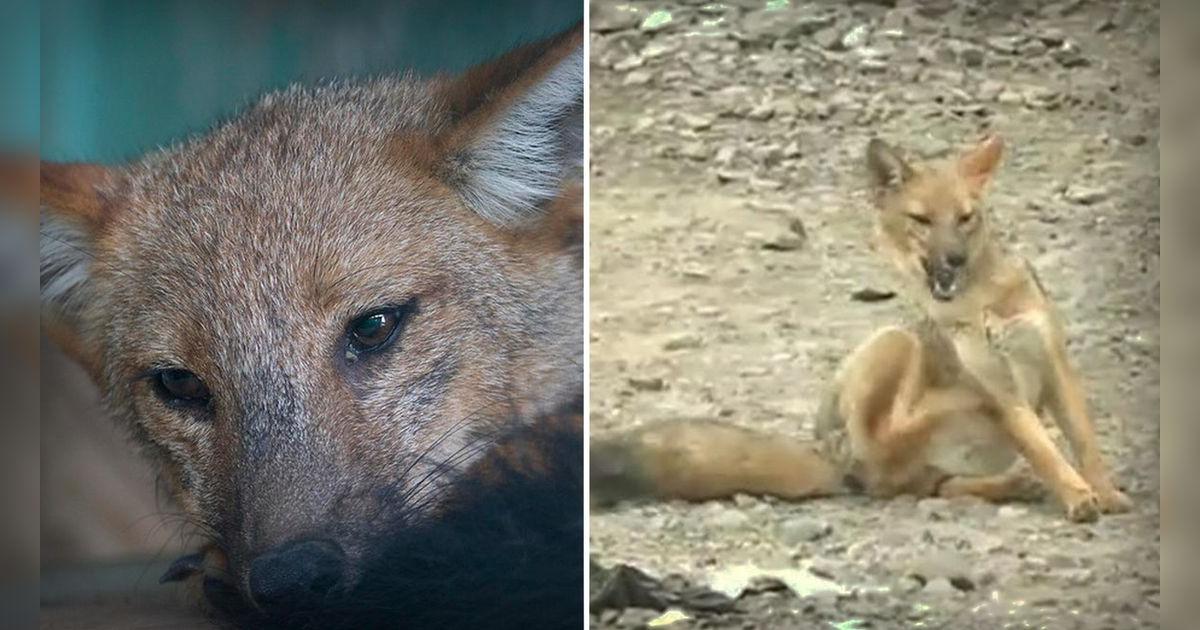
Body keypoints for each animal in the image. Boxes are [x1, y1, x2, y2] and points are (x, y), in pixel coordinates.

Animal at [591, 133, 1132, 523]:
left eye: (965, 218)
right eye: (921, 220)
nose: (954, 261)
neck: (981, 302)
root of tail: (828, 455)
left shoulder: (1055, 363)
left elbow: (1084, 443)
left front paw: (1103, 492)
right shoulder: (999, 391)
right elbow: (1044, 449)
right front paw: (1076, 495)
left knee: (930, 484)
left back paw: (1006, 482)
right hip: (894, 342)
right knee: (889, 471)